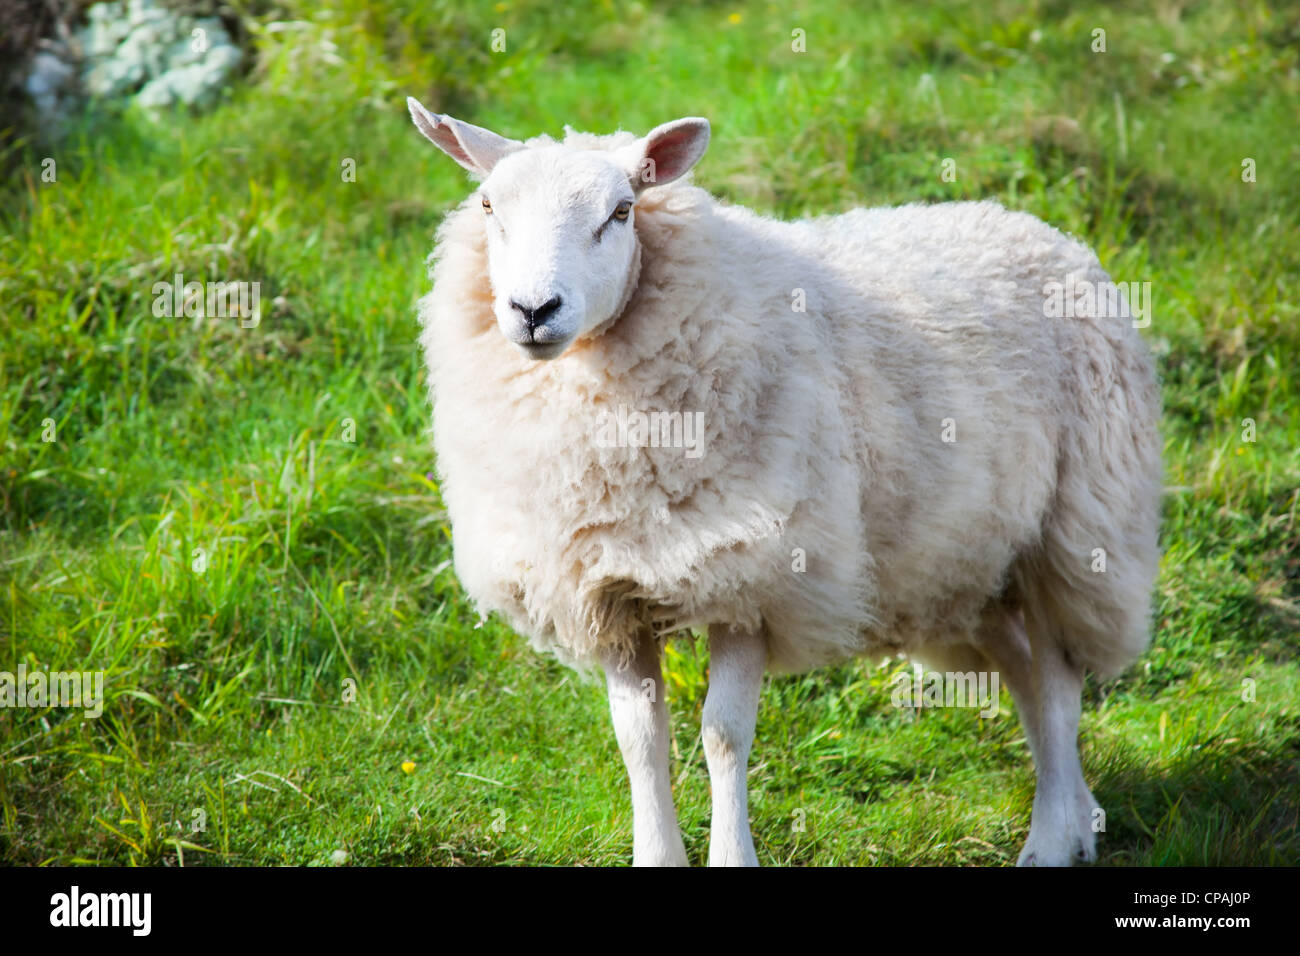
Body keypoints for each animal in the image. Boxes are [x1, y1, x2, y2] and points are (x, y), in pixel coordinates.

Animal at [406, 97, 1163, 867]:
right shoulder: (609, 589)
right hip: (970, 562)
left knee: (1059, 681)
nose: (534, 311)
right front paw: (658, 853)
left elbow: (723, 734)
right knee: (1024, 672)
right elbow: (639, 740)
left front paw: (731, 855)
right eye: (489, 205)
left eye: (620, 212)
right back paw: (1081, 818)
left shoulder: (754, 575)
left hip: (1077, 526)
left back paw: (1053, 834)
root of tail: (1041, 229)